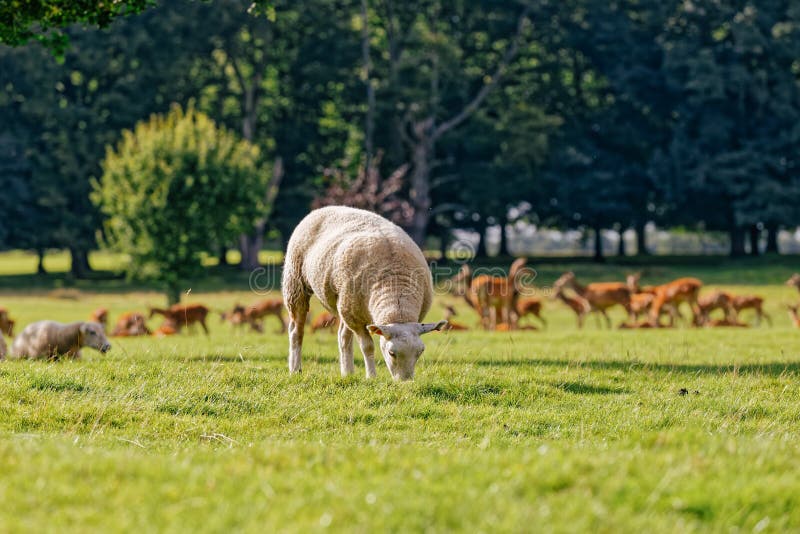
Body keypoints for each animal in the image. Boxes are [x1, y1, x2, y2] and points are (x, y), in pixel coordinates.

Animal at [282, 206, 446, 380]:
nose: (406, 382)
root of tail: (325, 208)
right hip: (296, 285)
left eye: (420, 352)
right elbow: (368, 347)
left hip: (345, 304)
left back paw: (347, 373)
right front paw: (371, 376)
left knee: (343, 337)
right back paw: (295, 369)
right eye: (391, 353)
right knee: (296, 332)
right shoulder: (356, 320)